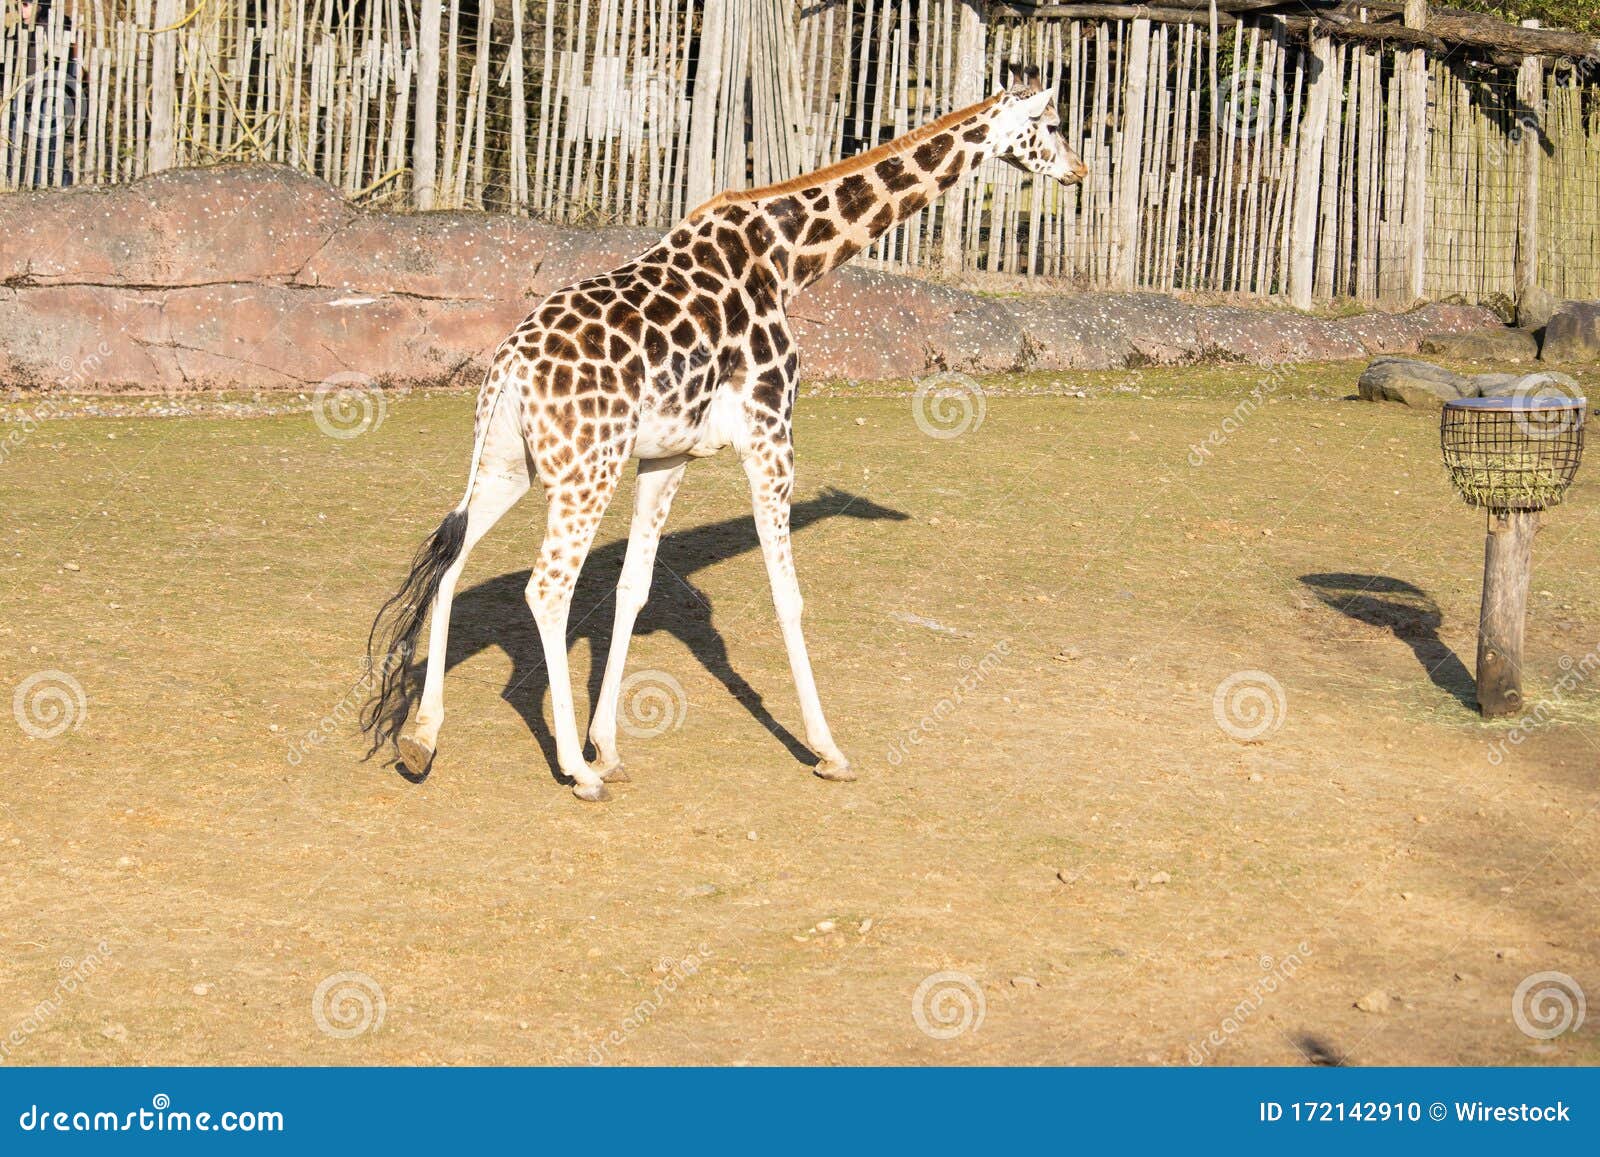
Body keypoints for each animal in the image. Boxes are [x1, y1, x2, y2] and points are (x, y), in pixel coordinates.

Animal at [361, 65, 1088, 801]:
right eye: (1054, 123)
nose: (1079, 170)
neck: (789, 258)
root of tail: (509, 367)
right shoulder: (771, 432)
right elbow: (787, 595)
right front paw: (828, 749)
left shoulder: (668, 455)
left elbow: (632, 590)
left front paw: (610, 746)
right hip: (585, 472)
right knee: (546, 591)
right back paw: (573, 769)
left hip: (510, 464)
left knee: (451, 561)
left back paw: (423, 739)